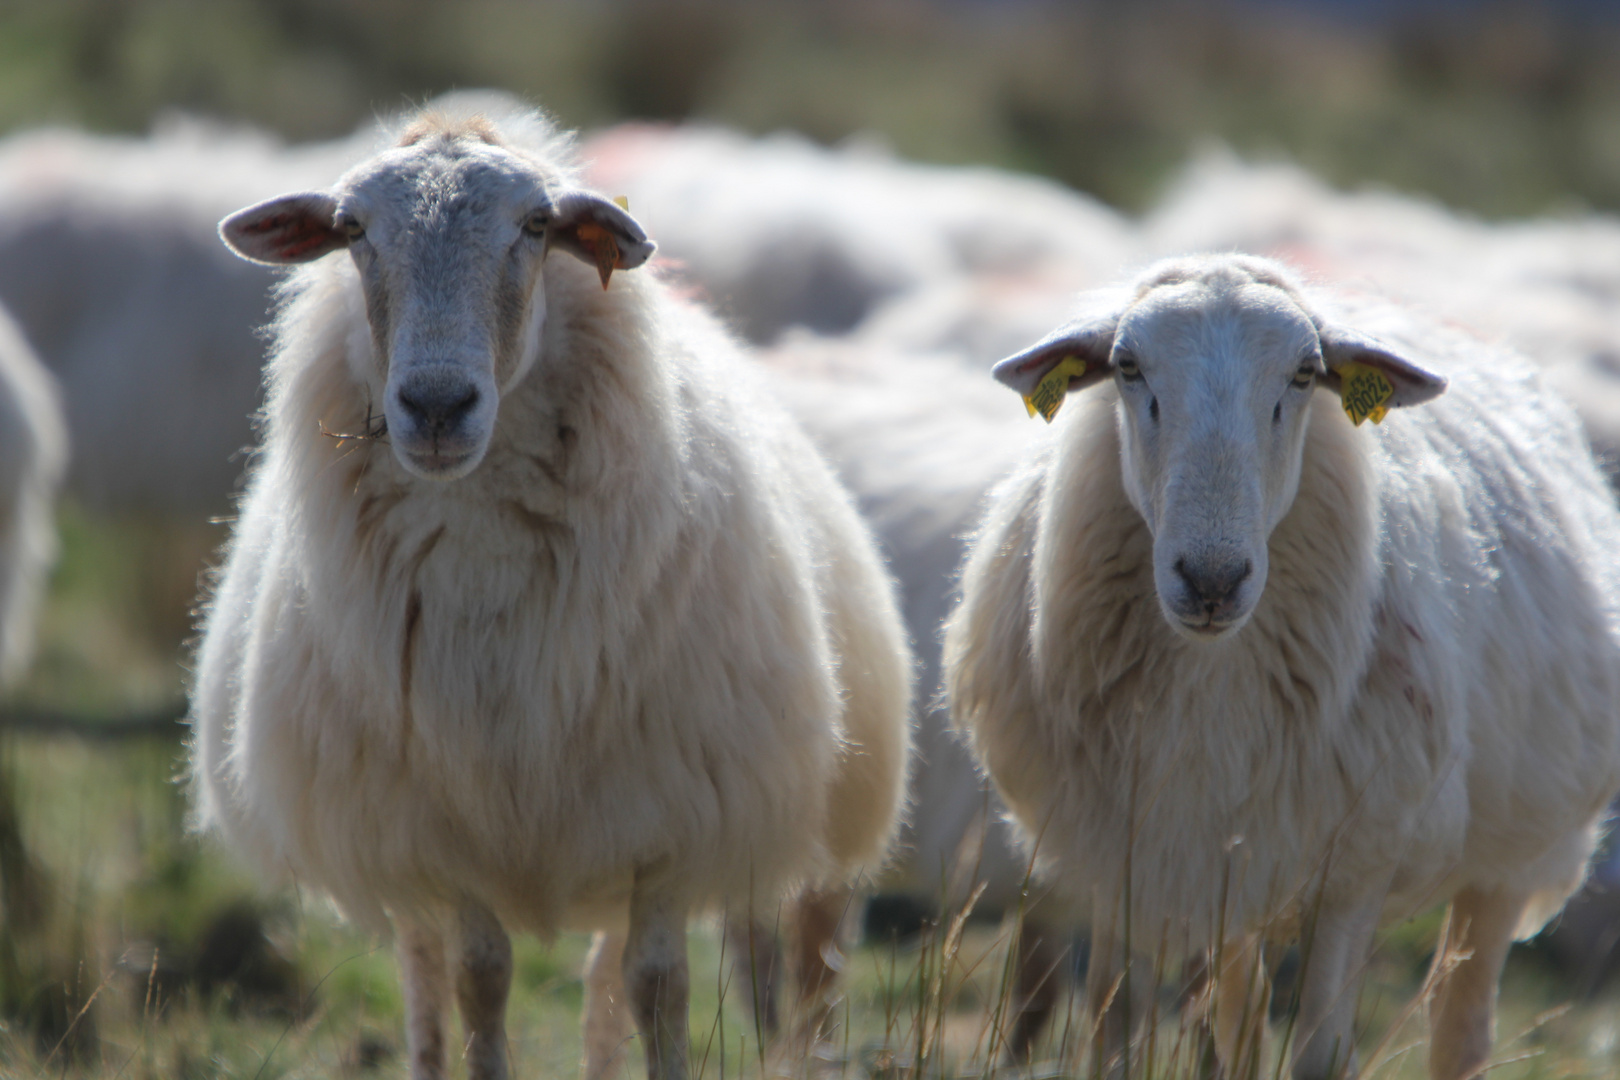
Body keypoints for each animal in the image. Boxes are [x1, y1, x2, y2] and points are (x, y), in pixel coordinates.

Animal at [187, 99, 913, 1080]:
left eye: (536, 226)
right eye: (352, 231)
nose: (437, 405)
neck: (484, 556)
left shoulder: (666, 820)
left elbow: (657, 987)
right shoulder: (447, 836)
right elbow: (482, 980)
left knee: (608, 985)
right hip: (396, 832)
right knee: (422, 972)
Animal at [946, 255, 1620, 1080]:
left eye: (1304, 374)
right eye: (1128, 367)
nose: (1211, 580)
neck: (1208, 680)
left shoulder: (1354, 869)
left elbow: (1321, 1057)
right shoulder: (1128, 859)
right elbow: (1115, 1041)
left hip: (1511, 859)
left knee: (1461, 1026)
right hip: (1240, 867)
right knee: (1241, 1019)